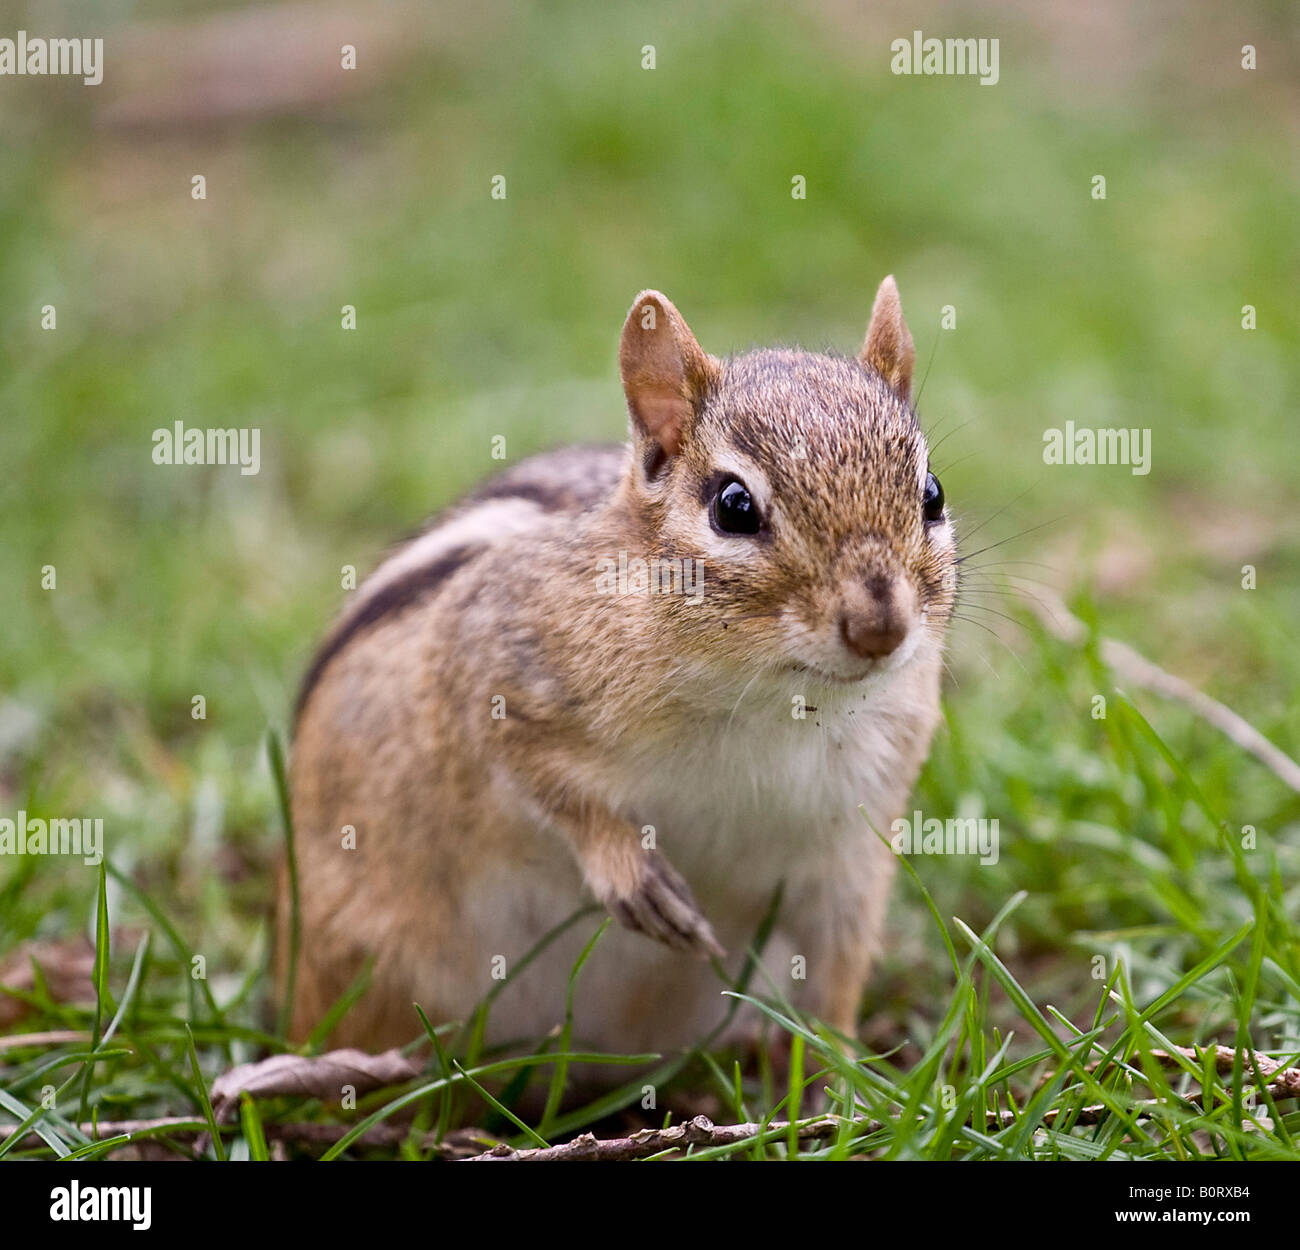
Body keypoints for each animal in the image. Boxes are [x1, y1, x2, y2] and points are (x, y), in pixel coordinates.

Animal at [279, 276, 957, 1061]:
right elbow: (534, 773)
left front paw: (840, 1075)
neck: (774, 697)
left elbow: (835, 988)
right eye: (733, 507)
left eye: (932, 494)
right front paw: (631, 875)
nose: (880, 627)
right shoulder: (490, 673)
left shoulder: (848, 862)